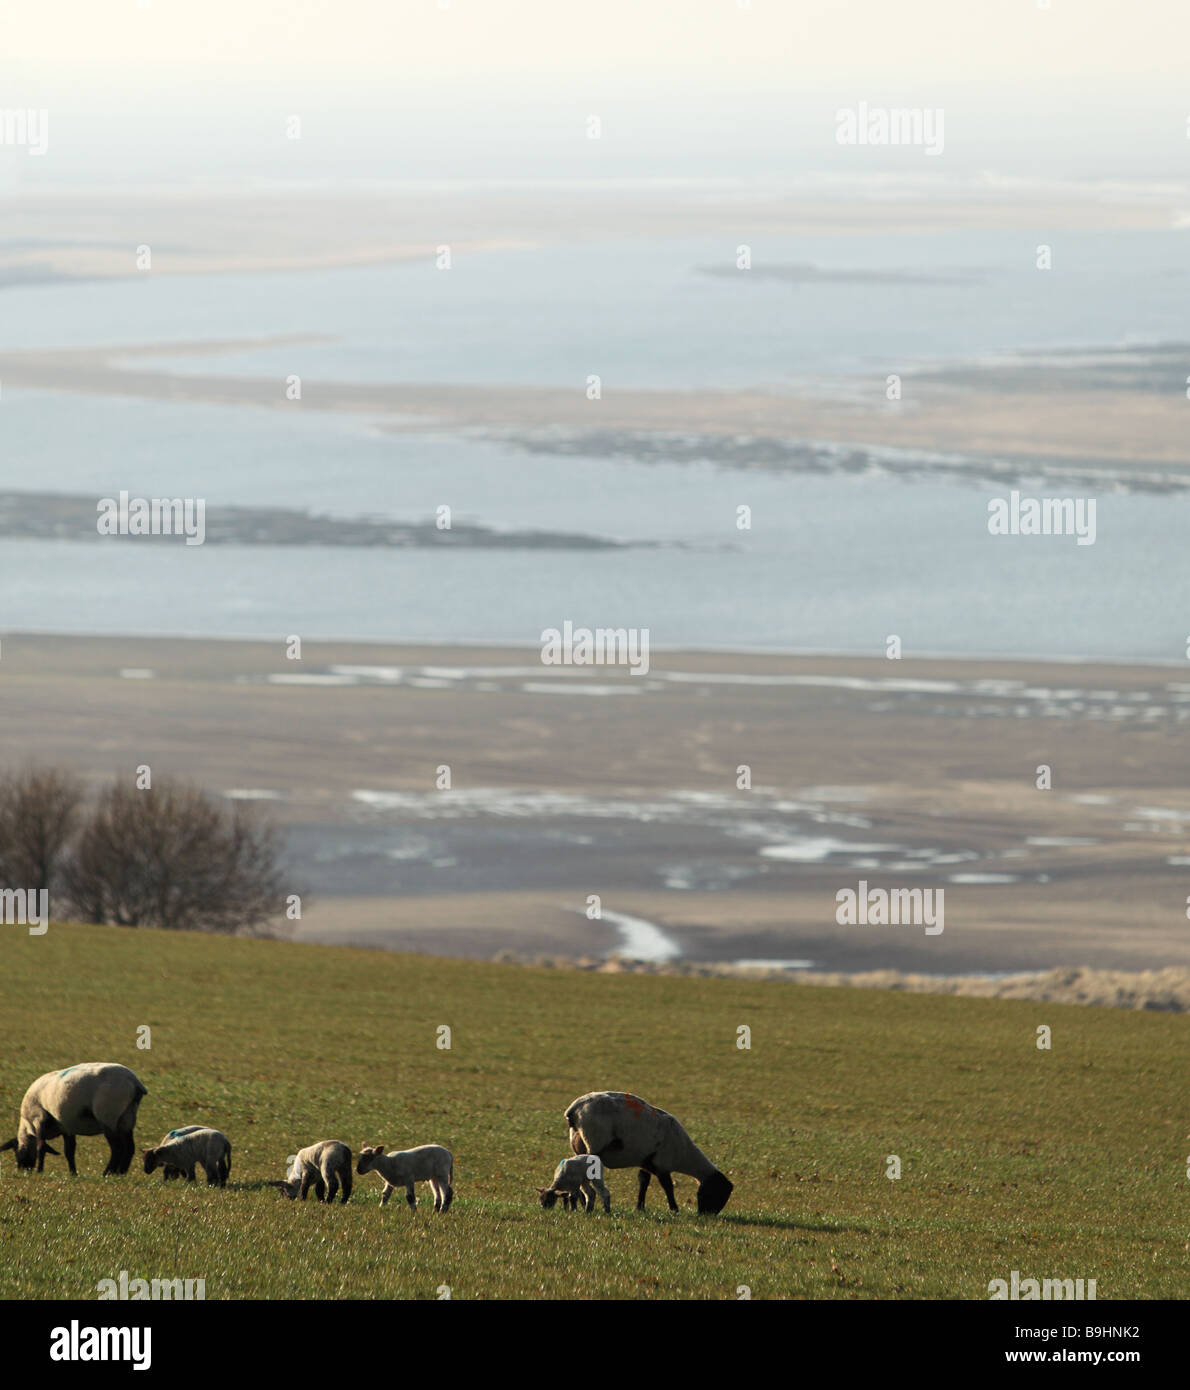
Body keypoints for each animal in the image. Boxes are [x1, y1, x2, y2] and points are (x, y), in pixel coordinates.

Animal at [1, 1063, 147, 1175]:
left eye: (16, 1152)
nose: (23, 1170)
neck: (27, 1125)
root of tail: (134, 1082)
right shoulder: (66, 1127)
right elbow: (69, 1151)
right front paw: (73, 1173)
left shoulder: (39, 1118)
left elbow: (41, 1147)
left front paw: (39, 1170)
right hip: (127, 1117)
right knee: (130, 1147)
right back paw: (121, 1173)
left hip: (108, 1117)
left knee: (117, 1148)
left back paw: (107, 1173)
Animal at [565, 1091, 733, 1214]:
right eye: (716, 1193)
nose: (706, 1215)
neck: (684, 1153)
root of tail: (575, 1109)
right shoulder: (662, 1164)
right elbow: (668, 1186)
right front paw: (674, 1209)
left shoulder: (646, 1161)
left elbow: (643, 1181)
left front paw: (640, 1208)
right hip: (594, 1142)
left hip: (578, 1145)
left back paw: (580, 1204)